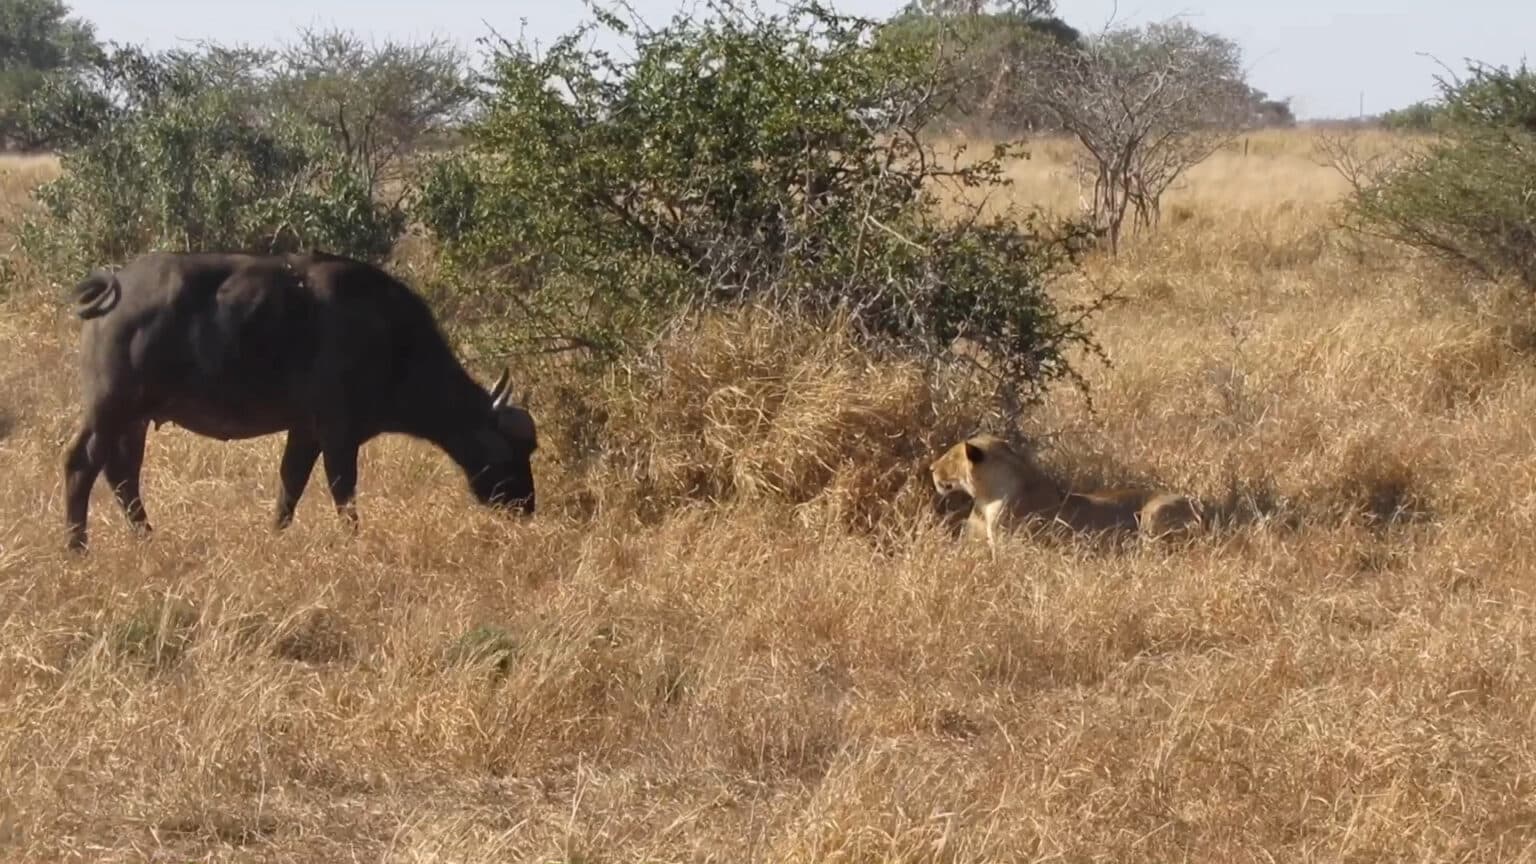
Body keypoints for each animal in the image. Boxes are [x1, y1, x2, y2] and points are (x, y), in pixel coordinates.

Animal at [63, 250, 537, 551]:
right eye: (512, 451)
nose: (527, 506)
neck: (391, 339)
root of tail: (119, 283)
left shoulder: (304, 431)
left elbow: (289, 485)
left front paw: (276, 535)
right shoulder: (338, 433)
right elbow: (343, 491)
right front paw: (352, 541)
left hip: (132, 418)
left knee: (122, 474)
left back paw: (145, 537)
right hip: (112, 408)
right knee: (82, 464)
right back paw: (77, 546)